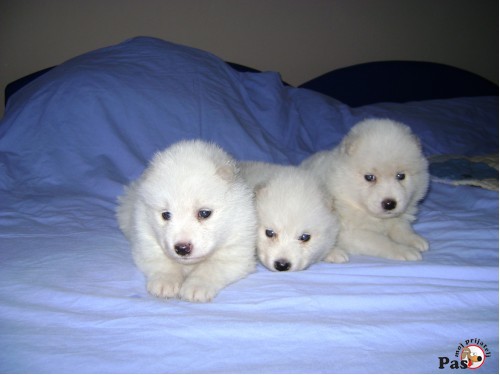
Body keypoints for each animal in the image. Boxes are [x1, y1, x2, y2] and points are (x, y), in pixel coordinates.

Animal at [116, 140, 258, 302]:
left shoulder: (237, 249)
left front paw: (196, 287)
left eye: (204, 213)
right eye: (166, 215)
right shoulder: (145, 240)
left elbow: (211, 267)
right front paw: (165, 282)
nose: (182, 248)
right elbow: (163, 262)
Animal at [300, 119, 430, 262]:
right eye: (369, 177)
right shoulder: (351, 233)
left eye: (400, 176)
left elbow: (401, 229)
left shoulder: (397, 218)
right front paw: (404, 251)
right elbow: (381, 241)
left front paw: (415, 239)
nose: (389, 204)